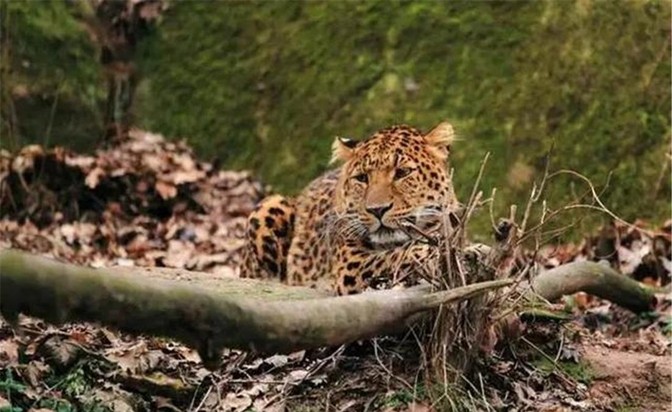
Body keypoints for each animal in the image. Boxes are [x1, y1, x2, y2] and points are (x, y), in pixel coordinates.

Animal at [239, 122, 460, 295]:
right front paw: (432, 254)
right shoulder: (351, 263)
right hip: (268, 206)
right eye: (362, 178)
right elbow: (395, 255)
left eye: (402, 173)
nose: (377, 210)